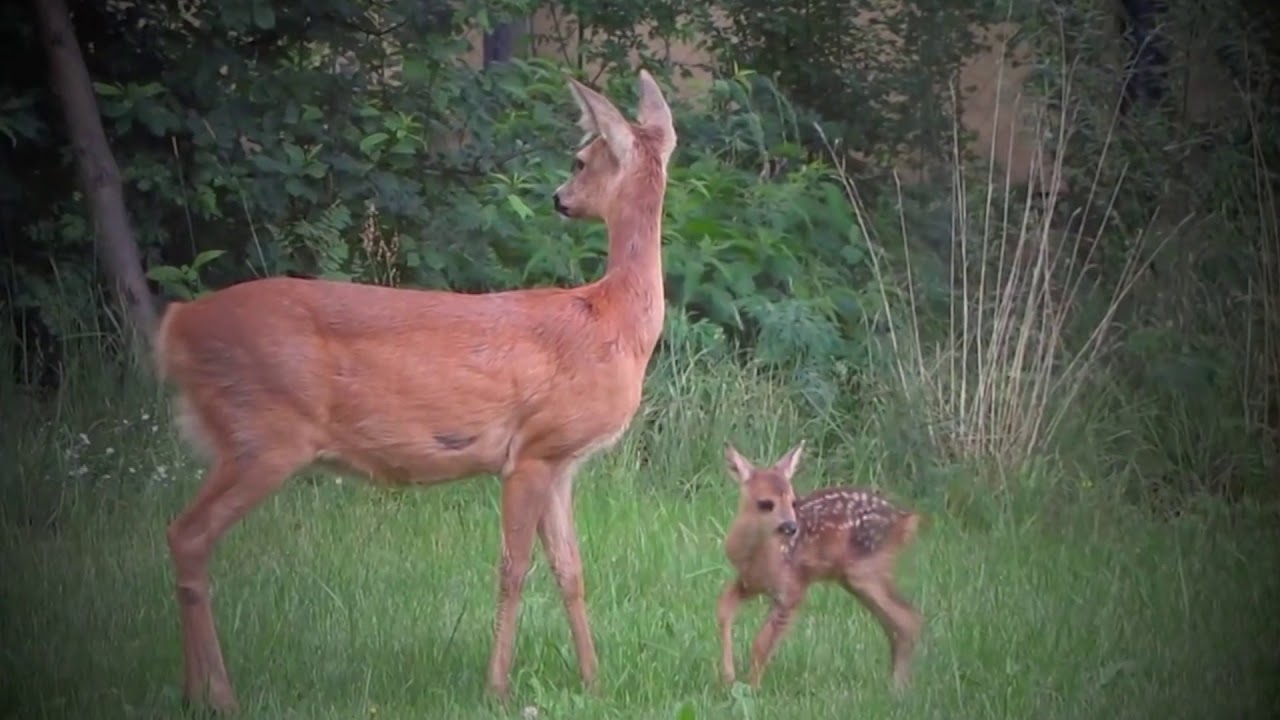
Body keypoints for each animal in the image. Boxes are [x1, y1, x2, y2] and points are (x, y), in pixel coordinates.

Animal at [152, 69, 677, 713]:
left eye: (579, 161)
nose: (559, 197)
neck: (612, 320)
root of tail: (176, 326)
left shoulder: (561, 461)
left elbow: (571, 569)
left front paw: (593, 681)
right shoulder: (532, 451)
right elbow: (513, 568)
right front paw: (497, 687)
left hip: (248, 437)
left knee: (186, 537)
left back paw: (193, 689)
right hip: (262, 433)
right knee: (189, 535)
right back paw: (219, 693)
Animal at [717, 441, 924, 691]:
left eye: (793, 501)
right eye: (765, 503)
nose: (791, 527)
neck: (756, 556)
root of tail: (905, 520)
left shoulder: (793, 588)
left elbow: (762, 643)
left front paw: (752, 688)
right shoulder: (750, 582)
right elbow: (723, 609)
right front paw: (728, 677)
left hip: (866, 569)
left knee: (909, 619)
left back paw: (898, 689)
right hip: (855, 578)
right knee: (898, 622)